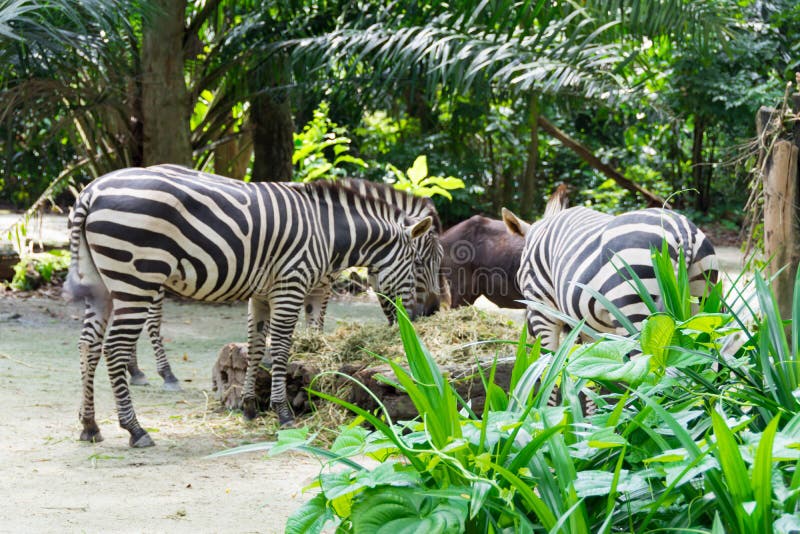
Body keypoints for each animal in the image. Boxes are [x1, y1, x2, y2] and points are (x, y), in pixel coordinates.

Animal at [124, 179, 444, 389]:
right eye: (418, 264)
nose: (427, 314)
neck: (331, 230)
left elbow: (305, 324)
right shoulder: (314, 283)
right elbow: (313, 323)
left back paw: (136, 371)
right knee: (149, 321)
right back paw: (165, 374)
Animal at [502, 201, 718, 350]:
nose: (529, 331)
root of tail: (681, 230)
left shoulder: (543, 307)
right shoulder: (590, 328)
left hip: (634, 314)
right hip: (703, 301)